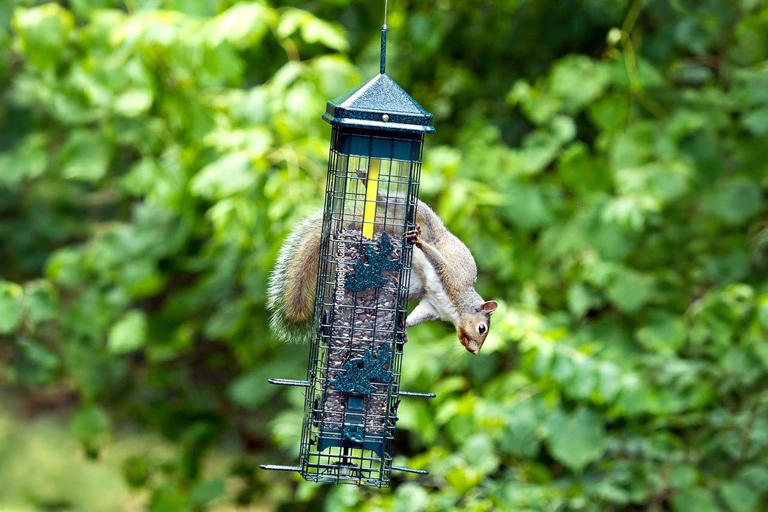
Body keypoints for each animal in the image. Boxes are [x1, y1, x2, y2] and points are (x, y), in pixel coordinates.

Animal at [267, 200, 498, 354]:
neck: (455, 309)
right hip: (428, 224)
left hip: (414, 286)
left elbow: (419, 314)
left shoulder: (432, 306)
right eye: (482, 328)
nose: (474, 351)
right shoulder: (451, 278)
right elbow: (437, 261)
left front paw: (403, 328)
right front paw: (419, 243)